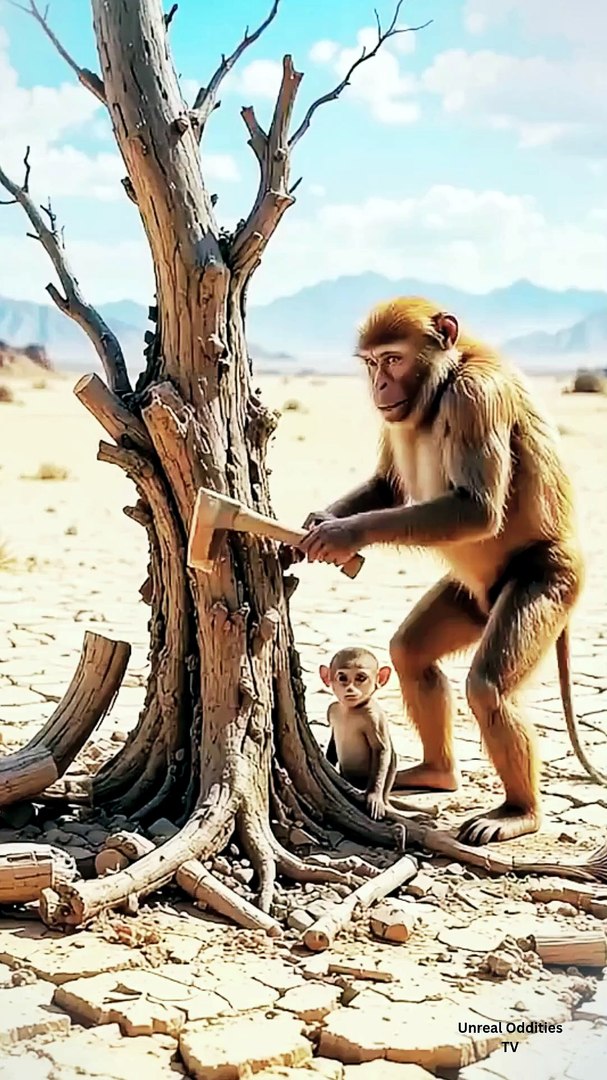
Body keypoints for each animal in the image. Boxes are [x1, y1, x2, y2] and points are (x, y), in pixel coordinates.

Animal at [320, 647, 396, 820]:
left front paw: (374, 796)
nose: (350, 689)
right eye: (342, 677)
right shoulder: (332, 709)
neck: (350, 709)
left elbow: (381, 749)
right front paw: (328, 761)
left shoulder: (374, 717)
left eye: (361, 678)